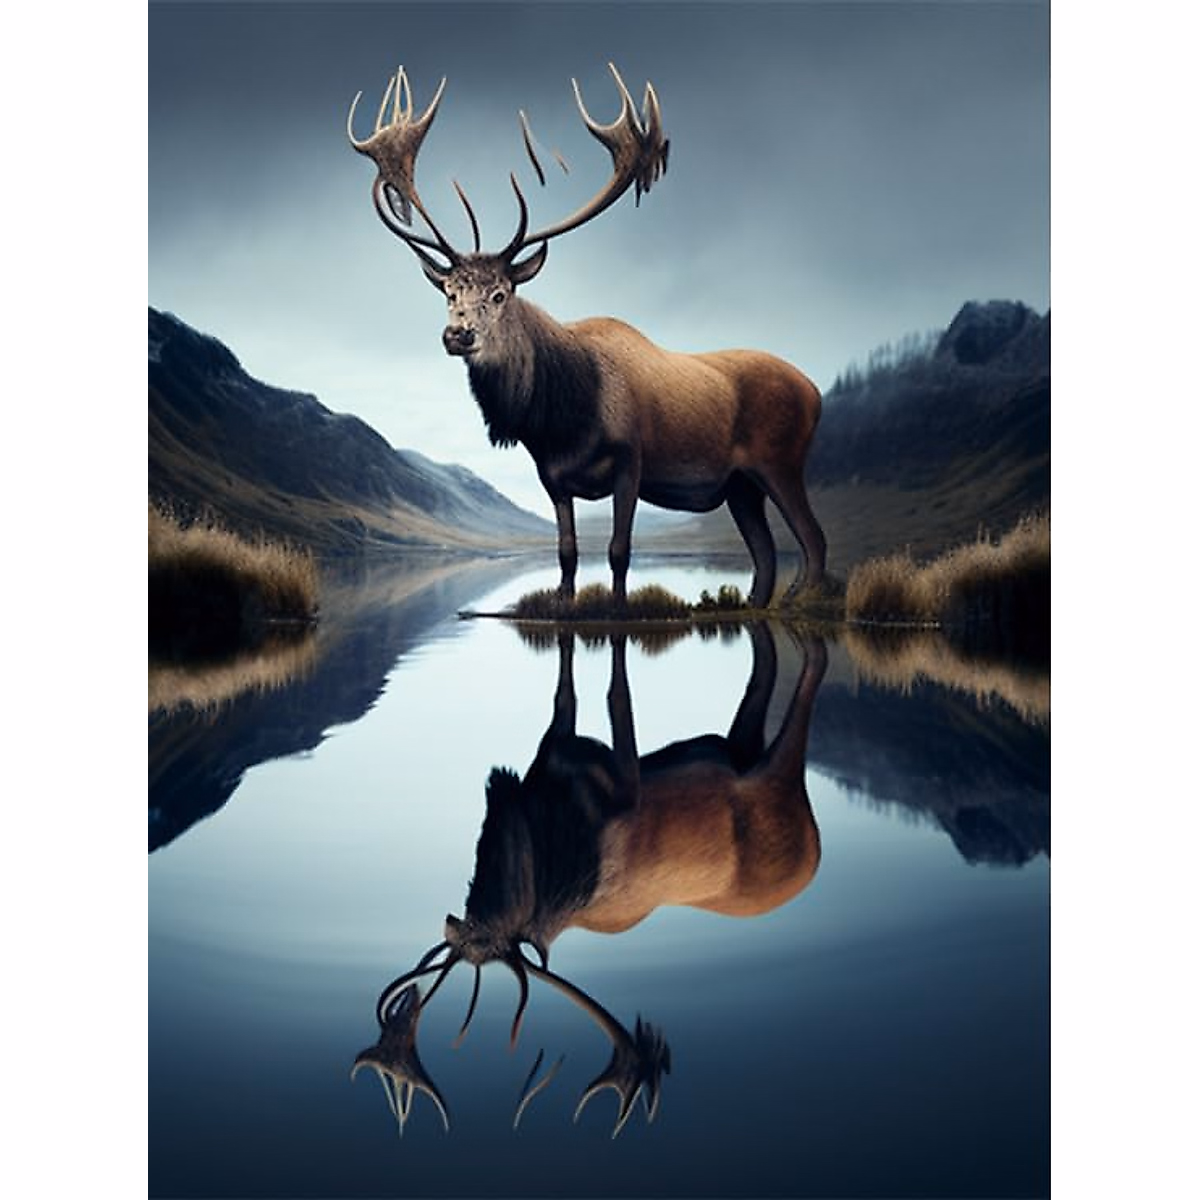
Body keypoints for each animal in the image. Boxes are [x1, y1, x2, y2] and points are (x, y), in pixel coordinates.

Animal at [348, 64, 827, 607]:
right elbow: (568, 554)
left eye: (501, 293)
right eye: (450, 291)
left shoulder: (631, 461)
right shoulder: (552, 477)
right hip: (741, 487)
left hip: (780, 462)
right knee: (765, 556)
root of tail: (815, 391)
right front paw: (565, 600)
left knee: (813, 540)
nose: (458, 334)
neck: (562, 418)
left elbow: (619, 550)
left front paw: (617, 609)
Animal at [354, 623, 827, 1134]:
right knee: (764, 671)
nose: (460, 929)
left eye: (486, 942)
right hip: (741, 745)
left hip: (777, 774)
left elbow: (617, 694)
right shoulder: (555, 748)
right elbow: (566, 690)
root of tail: (815, 854)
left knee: (809, 675)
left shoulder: (623, 785)